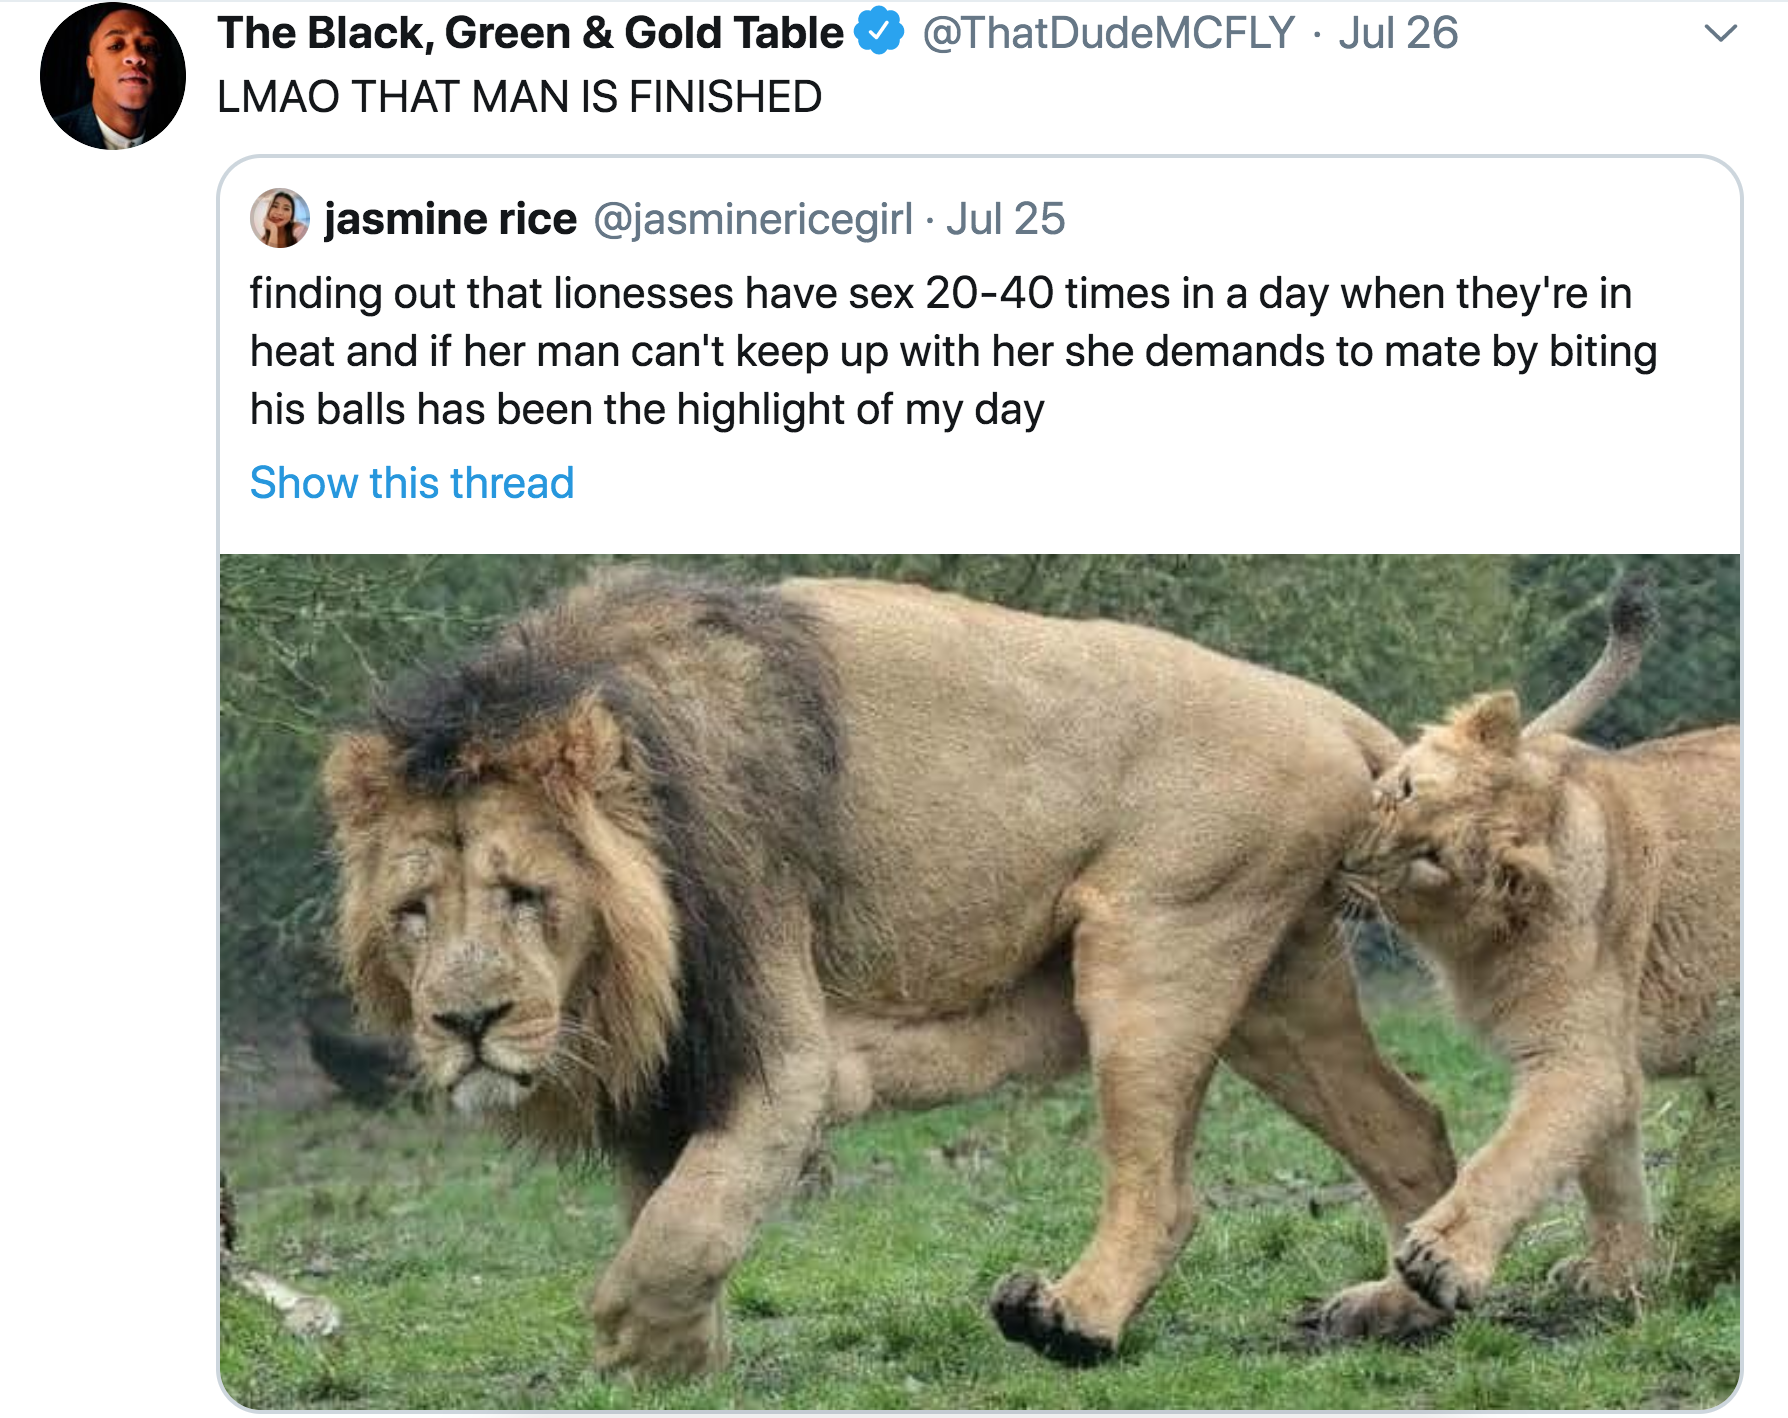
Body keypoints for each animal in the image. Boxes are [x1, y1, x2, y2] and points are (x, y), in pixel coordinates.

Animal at [324, 567, 1468, 1376]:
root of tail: (1321, 706)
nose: (468, 1021)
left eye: (526, 893)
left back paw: (1072, 1322)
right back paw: (1404, 1309)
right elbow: (672, 1216)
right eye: (413, 913)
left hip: (1161, 940)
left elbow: (682, 1227)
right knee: (1407, 1125)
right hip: (1276, 985)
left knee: (1168, 1192)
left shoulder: (779, 1051)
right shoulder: (672, 1073)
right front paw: (683, 1360)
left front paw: (631, 1343)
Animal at [1336, 588, 1738, 1318]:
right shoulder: (1609, 1062)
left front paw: (1438, 1263)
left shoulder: (1578, 1060)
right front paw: (1617, 1275)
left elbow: (1512, 1159)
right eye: (1405, 790)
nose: (1348, 855)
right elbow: (1611, 1177)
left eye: (1430, 859)